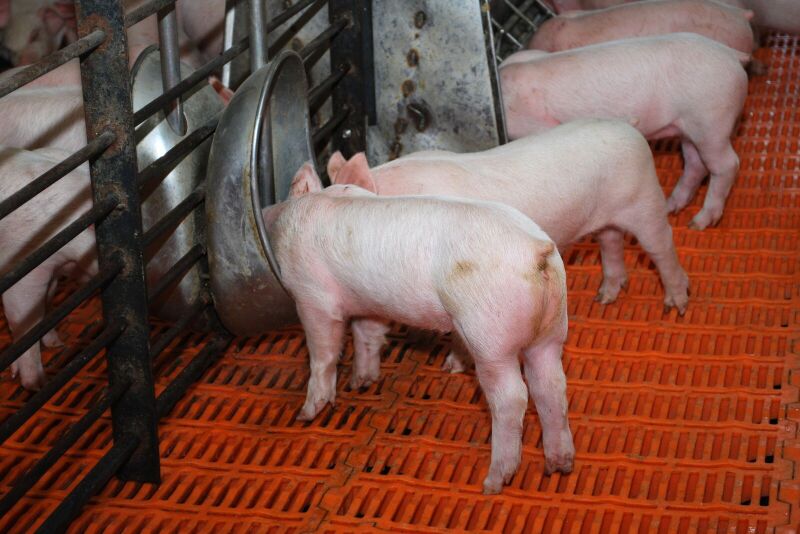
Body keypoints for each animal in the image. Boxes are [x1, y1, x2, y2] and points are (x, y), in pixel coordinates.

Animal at [266, 163, 574, 494]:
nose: (265, 212)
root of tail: (538, 252)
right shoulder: (368, 302)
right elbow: (367, 334)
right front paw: (361, 381)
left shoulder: (312, 298)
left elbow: (322, 354)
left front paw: (305, 414)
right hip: (552, 330)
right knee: (551, 385)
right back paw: (559, 465)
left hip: (490, 335)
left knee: (513, 397)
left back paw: (492, 482)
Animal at [327, 120, 689, 320]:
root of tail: (631, 130)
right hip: (605, 215)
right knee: (611, 240)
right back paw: (604, 297)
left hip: (645, 199)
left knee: (662, 245)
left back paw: (676, 305)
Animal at [500, 33, 749, 230]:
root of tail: (730, 53)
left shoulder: (535, 125)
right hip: (688, 127)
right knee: (695, 164)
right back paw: (671, 207)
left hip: (711, 120)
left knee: (727, 164)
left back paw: (699, 223)